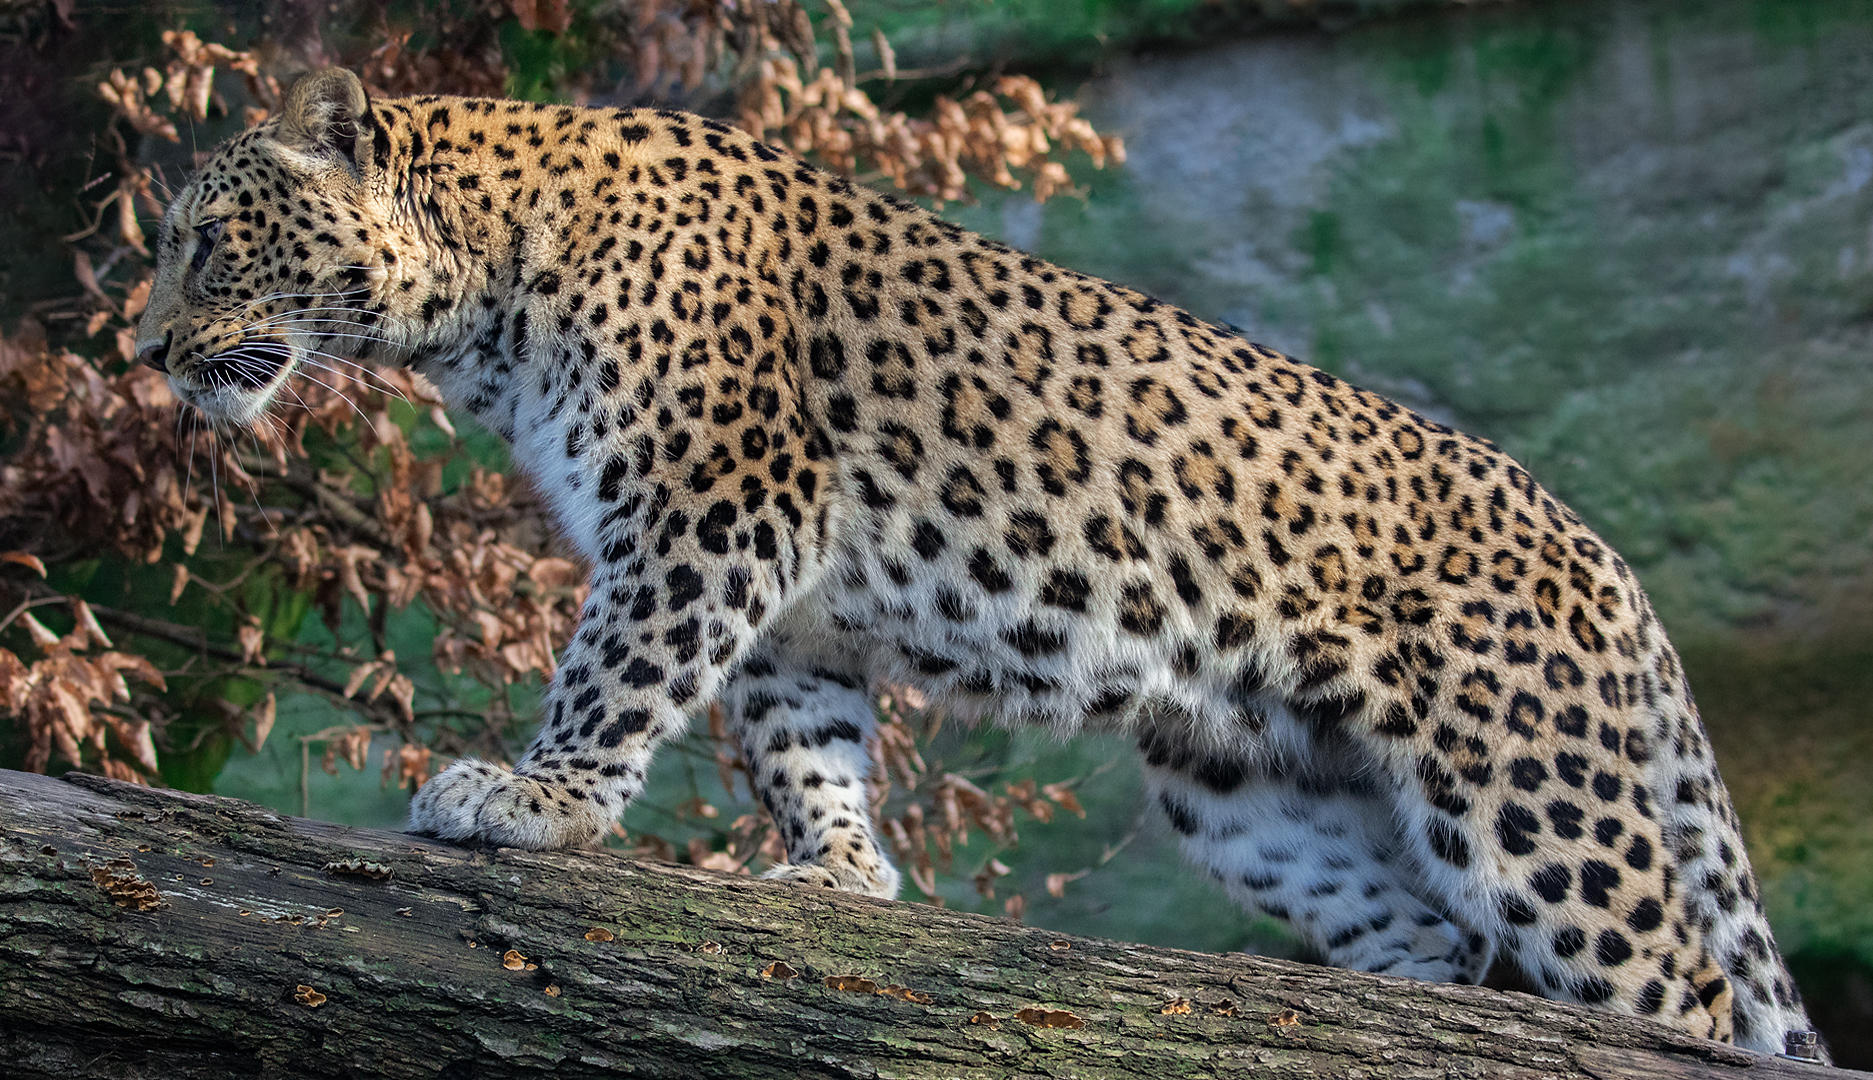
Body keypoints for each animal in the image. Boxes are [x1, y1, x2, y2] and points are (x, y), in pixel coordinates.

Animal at [135, 67, 1825, 1060]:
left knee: (1679, 986)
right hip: (1253, 790)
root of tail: (1604, 559)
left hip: (1533, 800)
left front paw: (532, 801)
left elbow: (617, 669)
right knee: (1440, 942)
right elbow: (795, 741)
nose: (142, 352)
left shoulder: (714, 507)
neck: (474, 301)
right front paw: (839, 876)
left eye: (205, 241)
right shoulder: (790, 597)